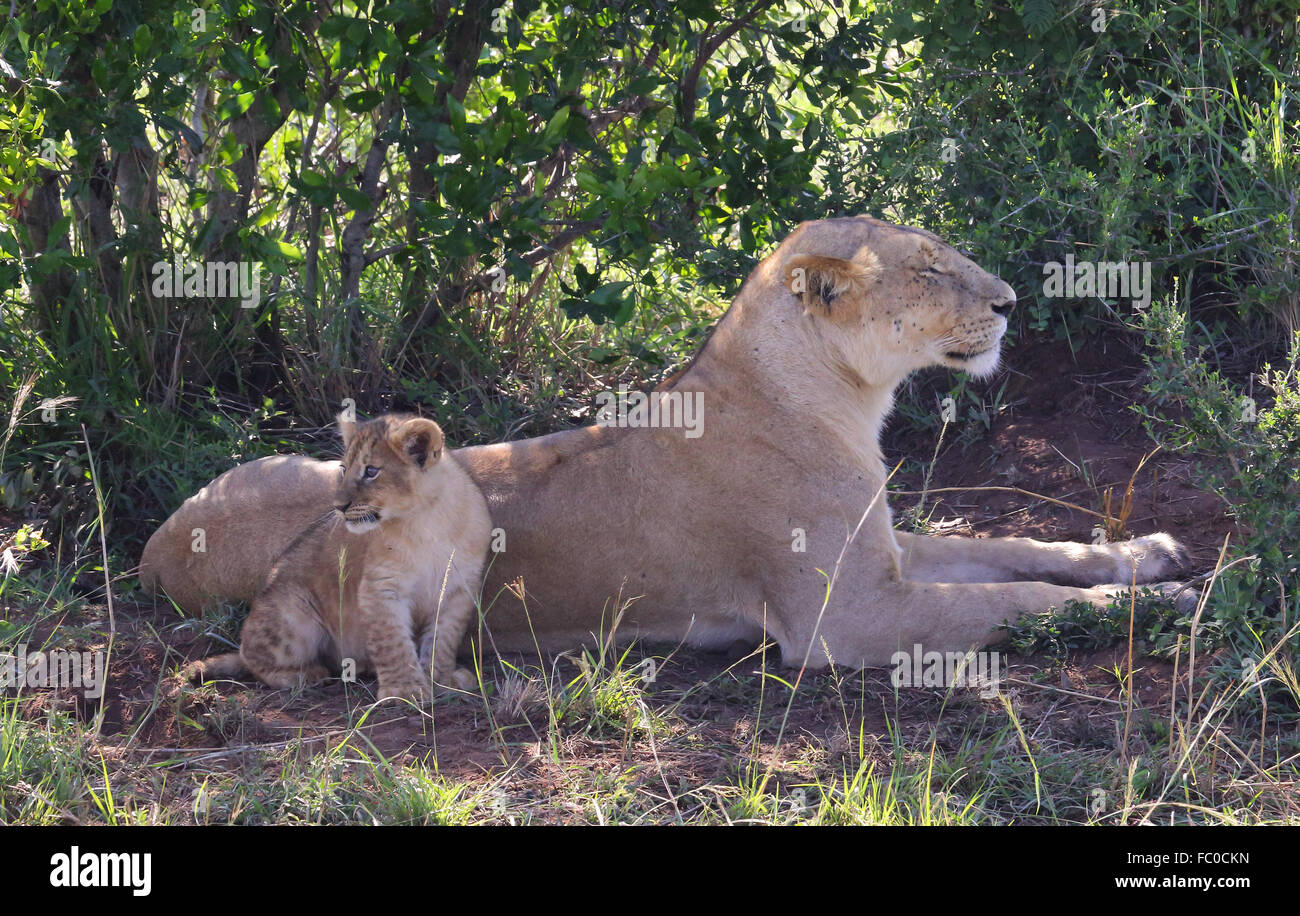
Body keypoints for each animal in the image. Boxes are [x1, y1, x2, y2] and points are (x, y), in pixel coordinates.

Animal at [142, 215, 1191, 672]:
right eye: (930, 269)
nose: (1011, 302)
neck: (839, 400)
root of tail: (153, 553)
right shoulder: (847, 621)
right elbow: (1013, 601)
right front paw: (1163, 605)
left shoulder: (886, 554)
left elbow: (1017, 549)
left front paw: (1145, 555)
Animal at [182, 413, 491, 701]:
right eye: (344, 469)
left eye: (371, 471)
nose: (338, 506)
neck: (427, 518)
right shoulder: (380, 588)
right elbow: (393, 643)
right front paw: (403, 690)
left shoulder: (457, 589)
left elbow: (442, 641)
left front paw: (441, 680)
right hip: (293, 613)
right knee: (254, 658)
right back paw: (305, 675)